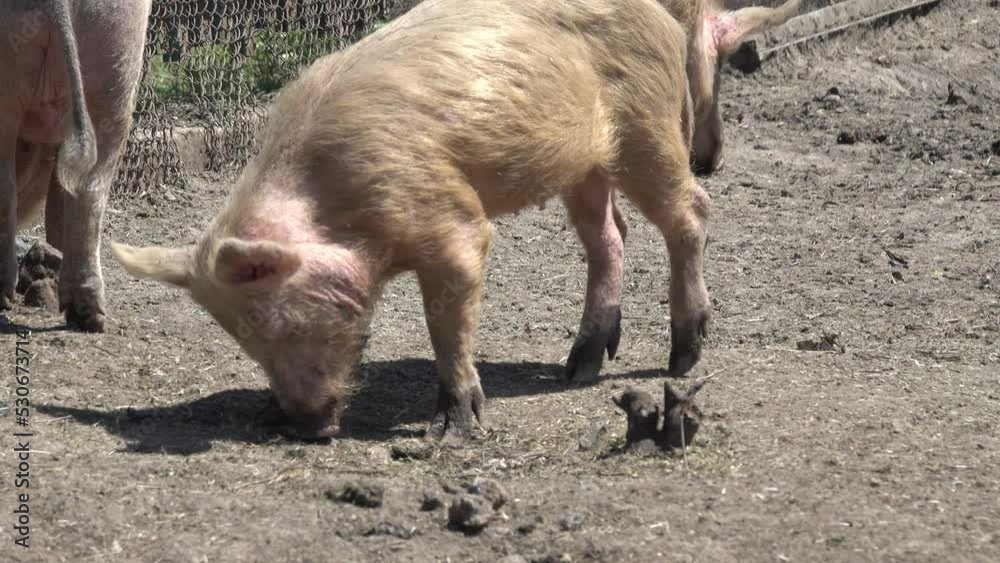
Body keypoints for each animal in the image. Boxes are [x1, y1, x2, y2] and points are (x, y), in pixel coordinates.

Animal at [112, 0, 711, 441]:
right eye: (242, 339)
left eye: (280, 323)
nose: (307, 428)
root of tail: (662, 17)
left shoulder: (452, 223)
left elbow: (445, 321)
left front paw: (450, 432)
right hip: (584, 163)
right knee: (609, 234)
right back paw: (579, 368)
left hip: (647, 126)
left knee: (691, 212)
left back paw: (683, 359)